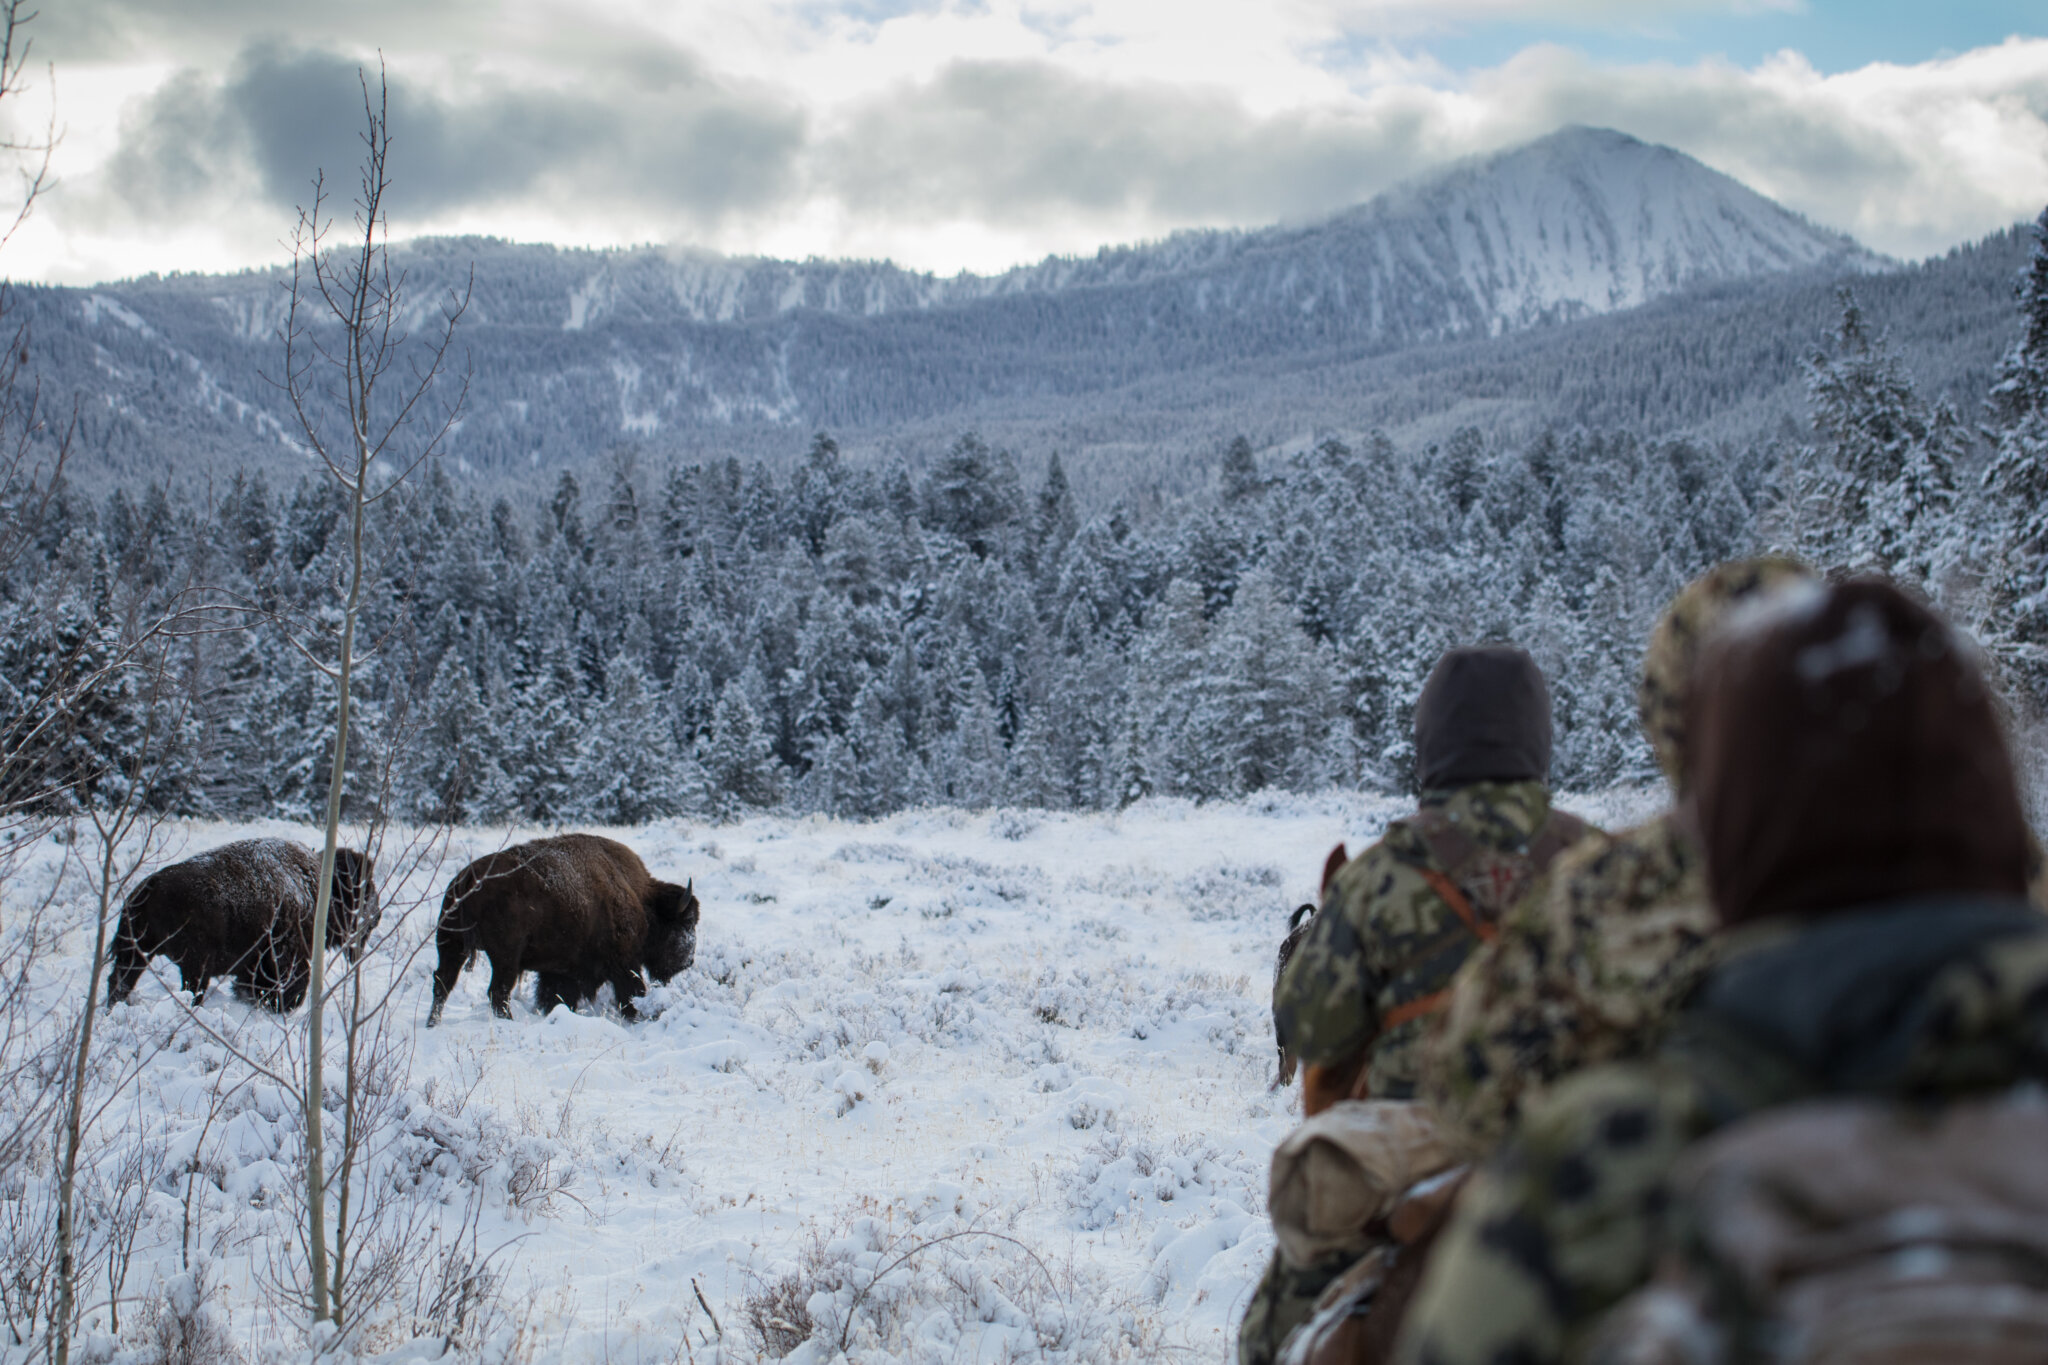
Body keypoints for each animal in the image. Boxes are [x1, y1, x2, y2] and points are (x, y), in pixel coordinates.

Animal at [107, 839, 381, 1010]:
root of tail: (151, 884)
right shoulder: (285, 958)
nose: (376, 915)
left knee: (119, 981)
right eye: (363, 887)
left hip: (137, 952)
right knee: (191, 991)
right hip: (194, 966)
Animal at [427, 834, 699, 1025]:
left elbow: (555, 996)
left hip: (450, 945)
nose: (689, 960)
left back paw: (432, 1023)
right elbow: (632, 992)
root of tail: (467, 879)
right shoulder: (624, 964)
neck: (642, 898)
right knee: (497, 992)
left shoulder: (559, 970)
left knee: (443, 983)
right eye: (686, 922)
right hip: (505, 958)